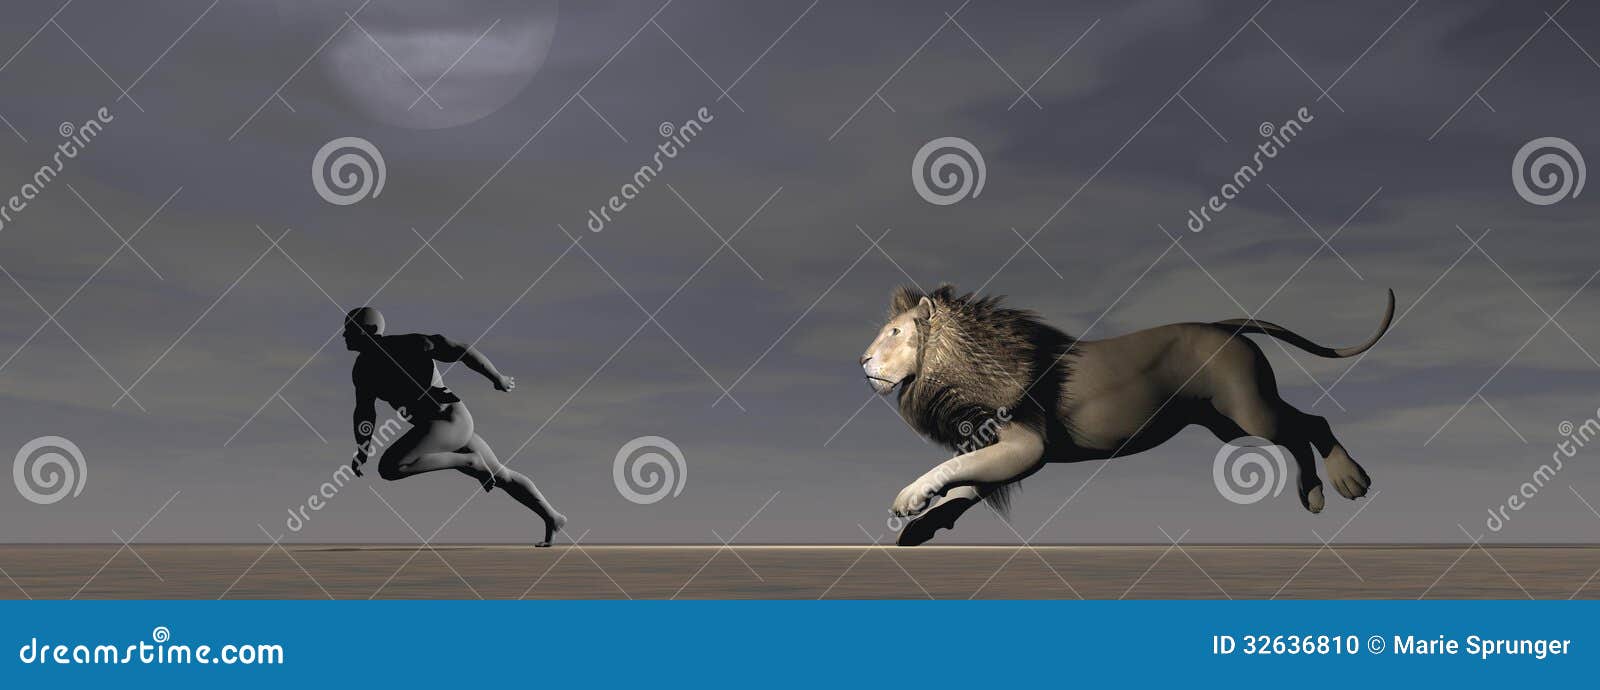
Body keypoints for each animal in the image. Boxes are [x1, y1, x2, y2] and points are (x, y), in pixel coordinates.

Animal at [859, 284, 1392, 546]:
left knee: (1311, 424)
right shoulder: (1002, 450)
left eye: (894, 333)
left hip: (1250, 409)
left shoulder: (1027, 445)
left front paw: (909, 500)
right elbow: (964, 486)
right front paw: (921, 528)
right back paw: (1314, 493)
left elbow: (953, 469)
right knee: (1297, 434)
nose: (862, 361)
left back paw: (1345, 481)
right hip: (1228, 425)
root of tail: (1224, 325)